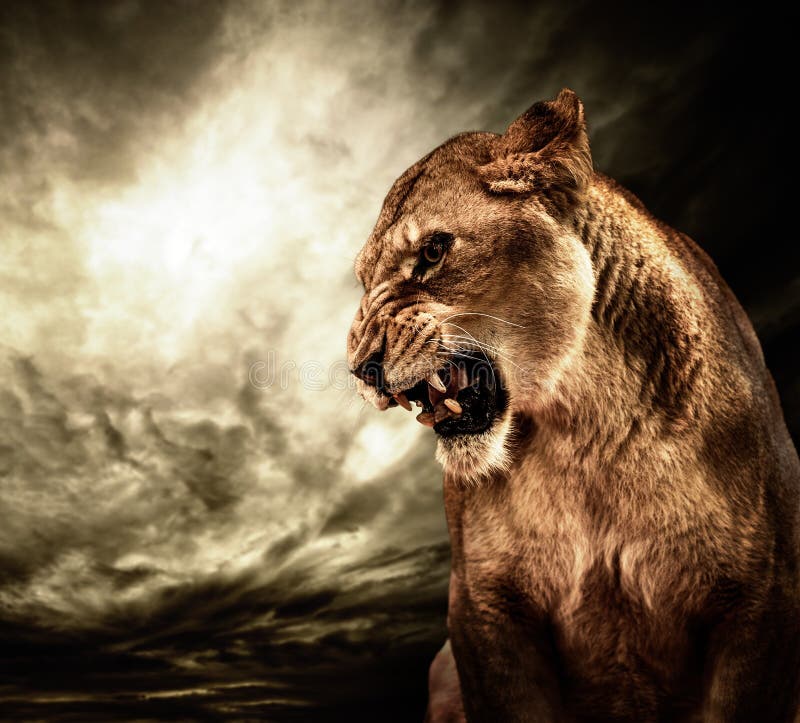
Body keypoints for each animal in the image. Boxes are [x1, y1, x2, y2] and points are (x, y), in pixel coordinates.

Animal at [346, 89, 800, 722]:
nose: (361, 368)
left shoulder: (763, 600)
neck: (590, 428)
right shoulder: (483, 611)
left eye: (433, 251)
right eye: (363, 281)